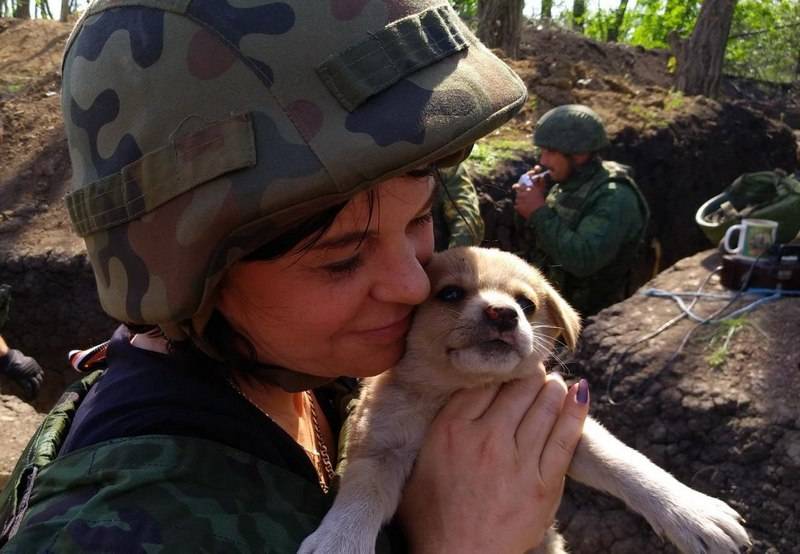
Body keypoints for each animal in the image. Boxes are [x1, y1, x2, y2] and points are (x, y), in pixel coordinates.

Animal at [298, 247, 752, 552]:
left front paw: (692, 512)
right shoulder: (379, 446)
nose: (503, 313)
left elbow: (629, 465)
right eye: (449, 294)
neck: (458, 389)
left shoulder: (573, 431)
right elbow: (362, 496)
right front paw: (338, 541)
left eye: (526, 304)